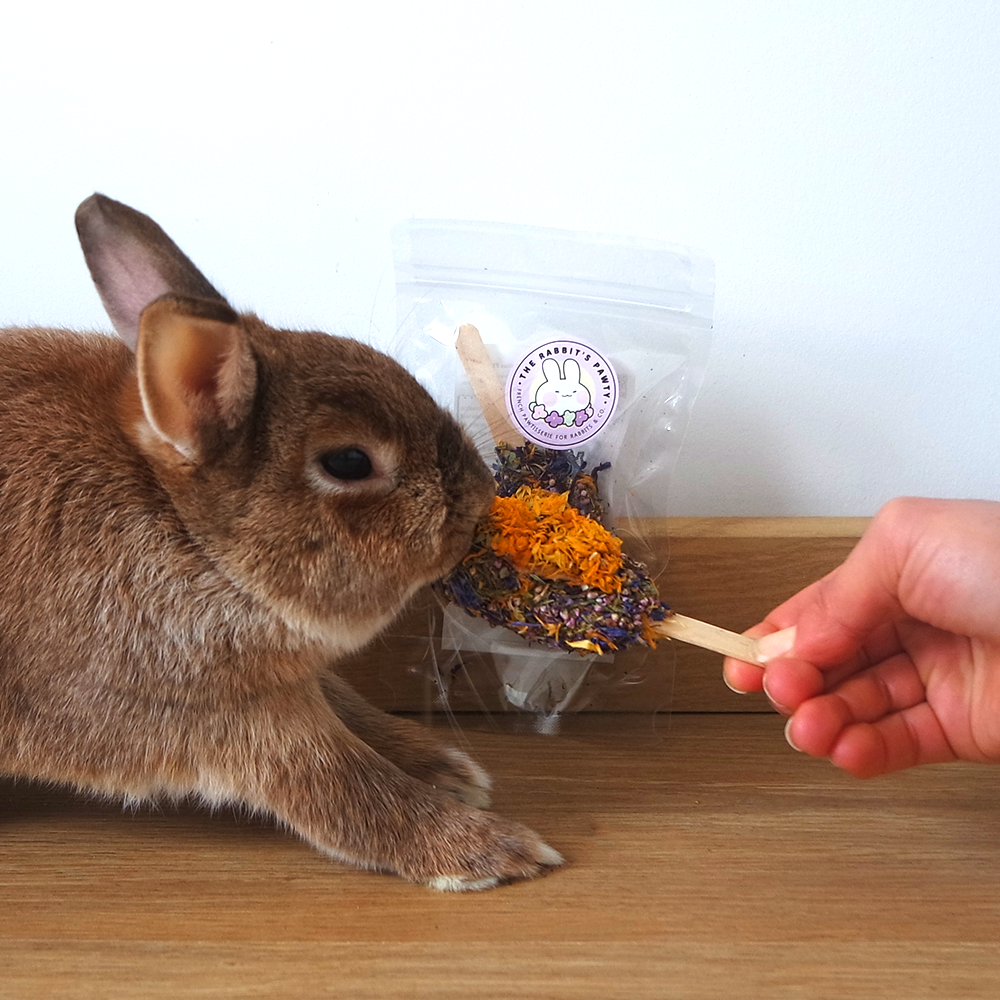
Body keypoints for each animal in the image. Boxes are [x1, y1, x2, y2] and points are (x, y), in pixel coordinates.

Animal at [0, 194, 562, 890]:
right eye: (348, 461)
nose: (482, 497)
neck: (191, 537)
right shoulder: (222, 719)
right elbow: (348, 790)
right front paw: (492, 850)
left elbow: (353, 711)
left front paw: (450, 772)